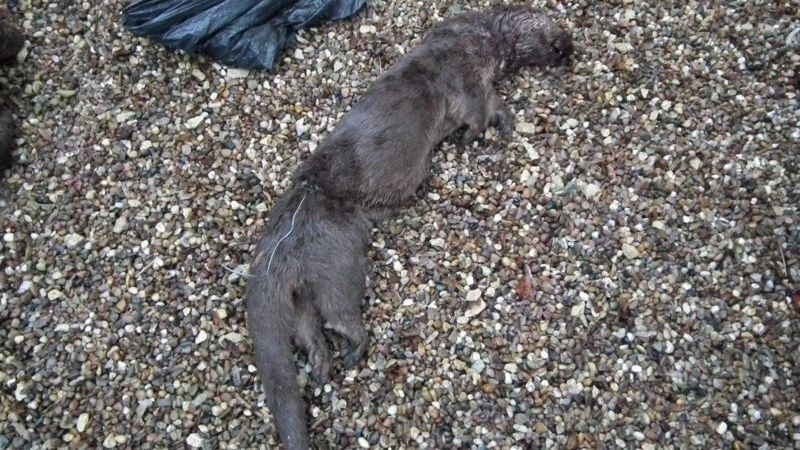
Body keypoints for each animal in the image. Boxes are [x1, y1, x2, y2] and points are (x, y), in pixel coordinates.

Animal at [245, 7, 573, 449]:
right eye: (559, 44)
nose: (570, 51)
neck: (483, 36)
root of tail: (287, 225)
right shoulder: (466, 77)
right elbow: (477, 109)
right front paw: (479, 133)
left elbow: (493, 104)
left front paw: (502, 124)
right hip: (338, 260)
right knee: (337, 311)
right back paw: (353, 346)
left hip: (303, 289)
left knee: (306, 326)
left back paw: (322, 363)